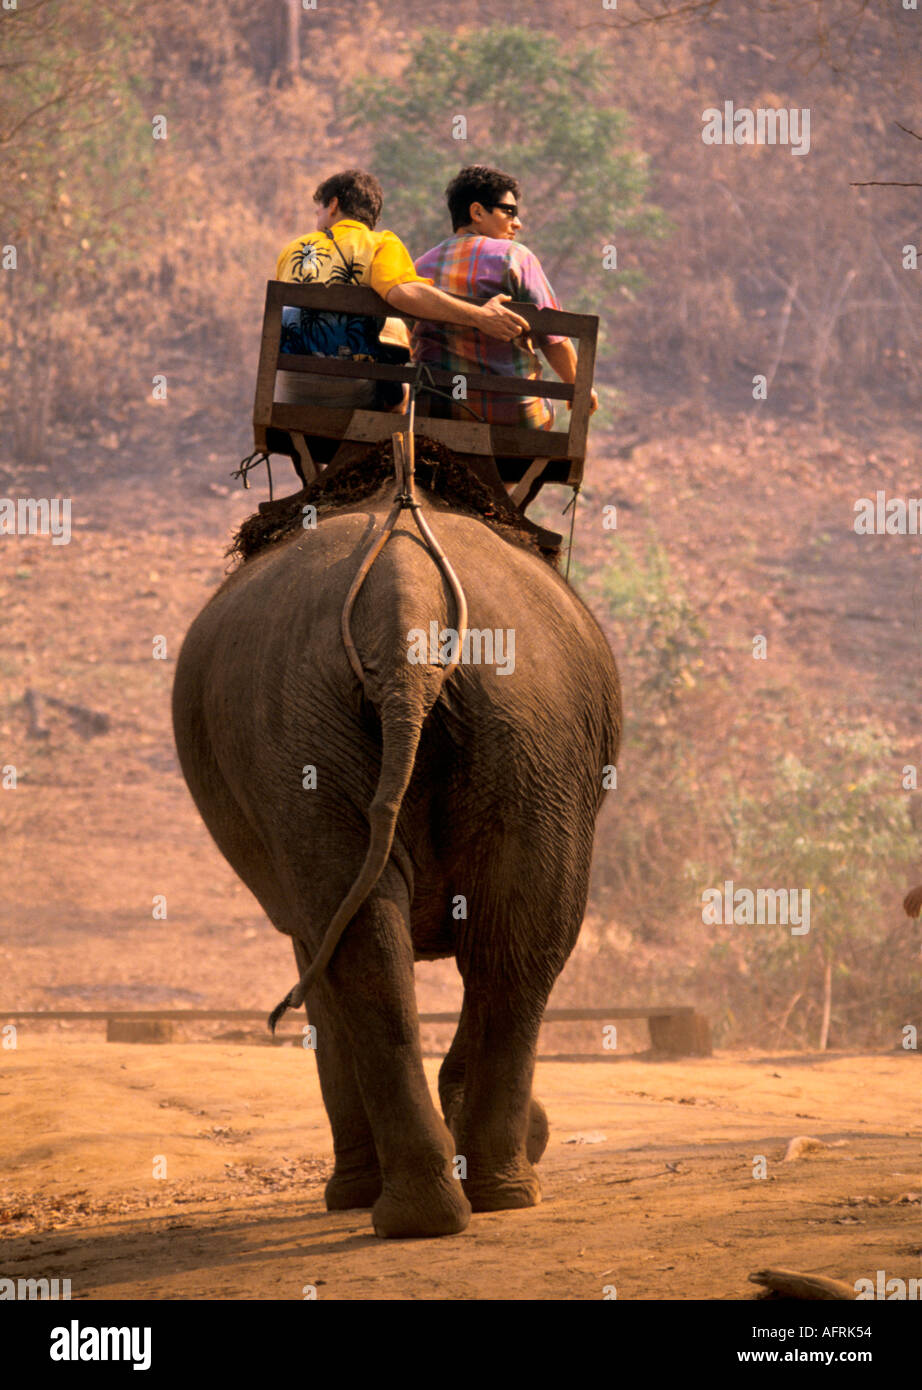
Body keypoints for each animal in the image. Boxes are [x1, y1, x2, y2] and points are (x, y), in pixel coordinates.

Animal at [172, 458, 620, 1238]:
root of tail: (401, 597)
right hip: (510, 730)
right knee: (504, 943)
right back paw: (466, 1199)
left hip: (505, 728)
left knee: (447, 944)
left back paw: (445, 1201)